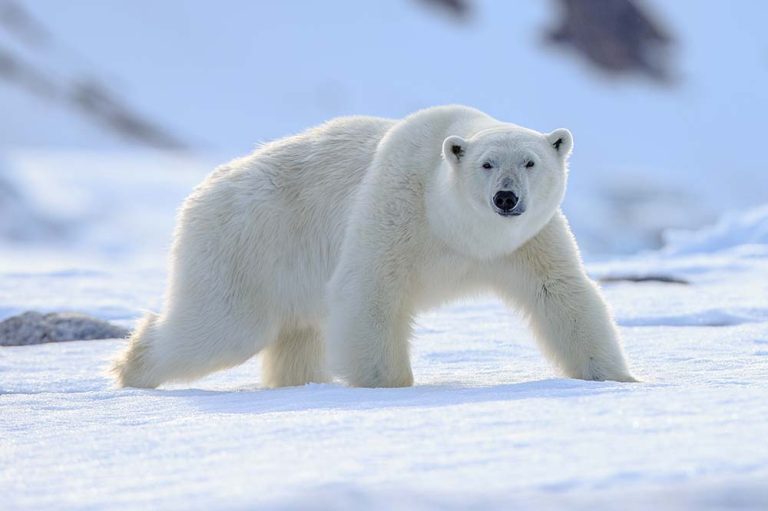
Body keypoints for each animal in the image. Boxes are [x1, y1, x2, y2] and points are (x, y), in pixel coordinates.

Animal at [111, 105, 636, 389]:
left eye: (530, 162)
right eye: (486, 164)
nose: (506, 198)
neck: (457, 229)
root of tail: (202, 191)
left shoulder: (527, 242)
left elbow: (562, 293)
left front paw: (618, 378)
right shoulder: (397, 205)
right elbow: (370, 290)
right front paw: (389, 386)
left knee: (297, 336)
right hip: (247, 245)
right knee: (220, 327)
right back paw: (130, 369)